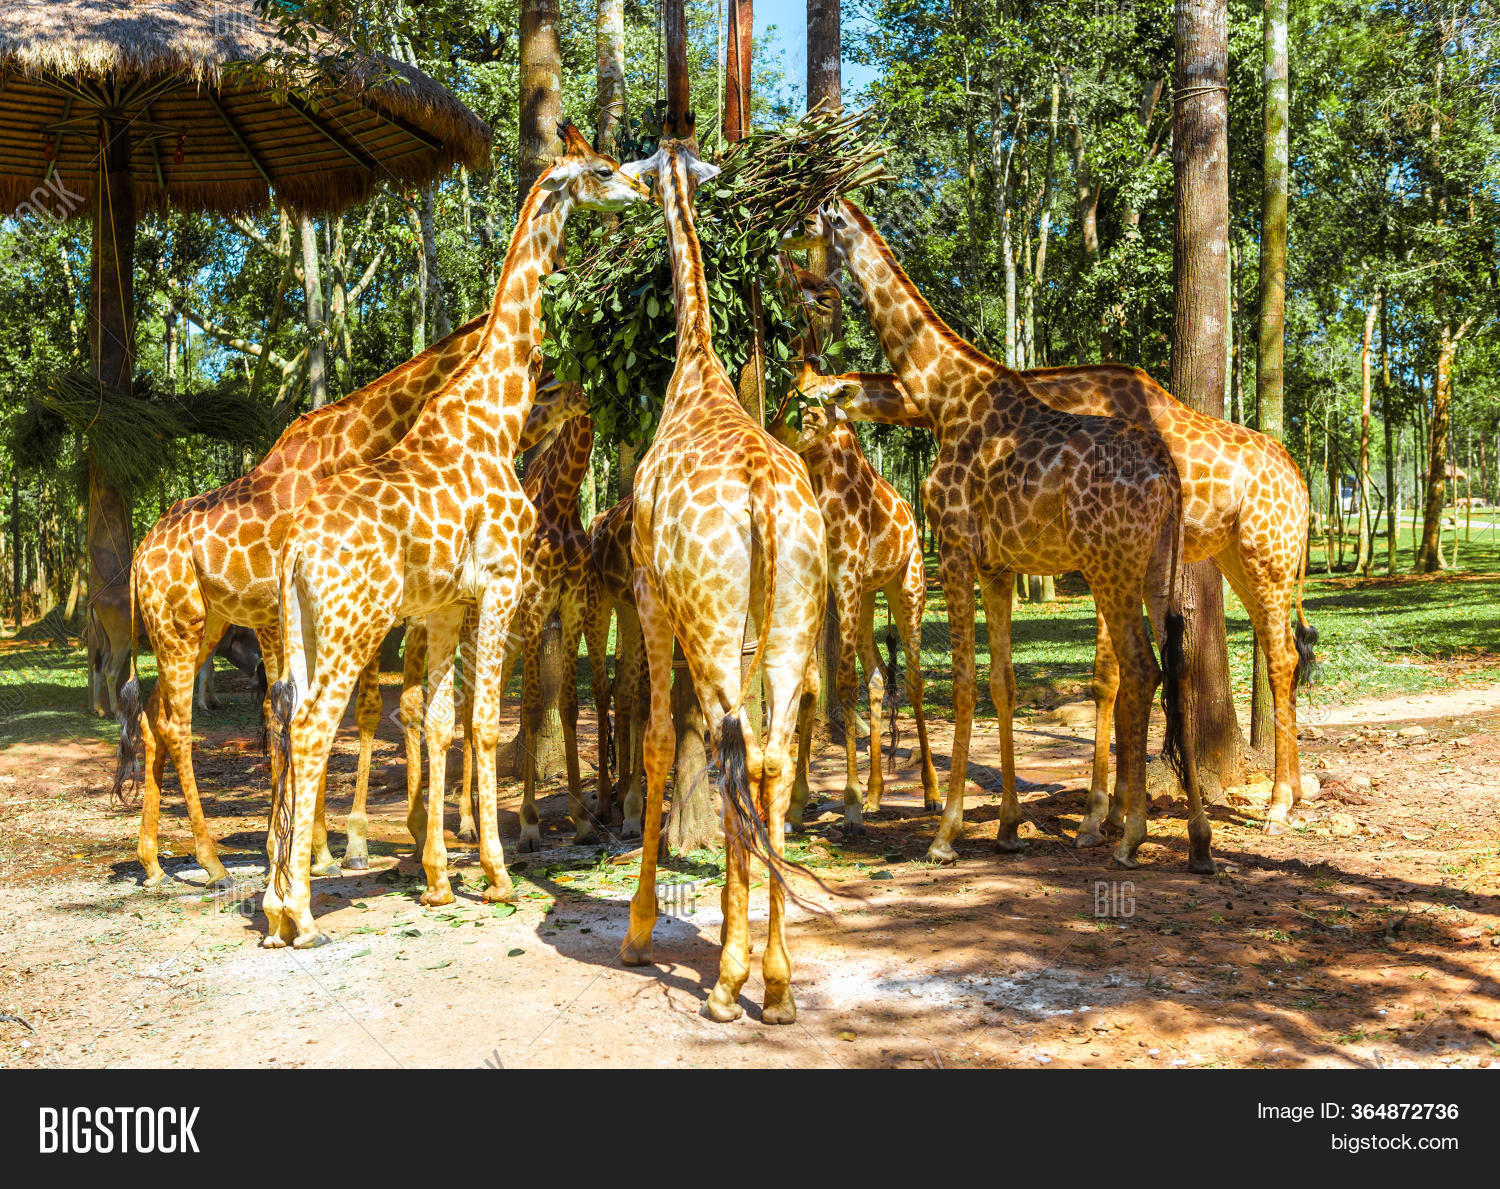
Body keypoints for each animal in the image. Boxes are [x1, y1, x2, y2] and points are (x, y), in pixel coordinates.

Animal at [261, 125, 648, 948]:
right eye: (603, 170)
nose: (637, 192)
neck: (492, 416)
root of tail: (298, 552)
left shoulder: (443, 606)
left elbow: (441, 718)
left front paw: (440, 879)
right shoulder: (501, 582)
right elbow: (484, 717)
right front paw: (497, 872)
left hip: (305, 629)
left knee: (286, 725)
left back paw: (277, 907)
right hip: (352, 626)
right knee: (310, 732)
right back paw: (302, 912)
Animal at [767, 359, 939, 831]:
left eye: (806, 406)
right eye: (786, 397)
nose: (771, 433)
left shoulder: (844, 573)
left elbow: (843, 681)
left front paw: (848, 803)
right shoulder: (821, 580)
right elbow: (812, 686)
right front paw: (796, 806)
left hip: (907, 586)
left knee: (914, 680)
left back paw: (932, 794)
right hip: (866, 597)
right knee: (879, 675)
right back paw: (877, 795)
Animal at [794, 361, 1315, 834]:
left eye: (804, 403)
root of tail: (1302, 482)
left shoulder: (1103, 556)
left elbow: (1107, 680)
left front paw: (1098, 814)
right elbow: (1115, 681)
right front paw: (1115, 808)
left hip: (1265, 555)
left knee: (1281, 657)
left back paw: (1278, 805)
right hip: (1237, 558)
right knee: (1285, 653)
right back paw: (1287, 796)